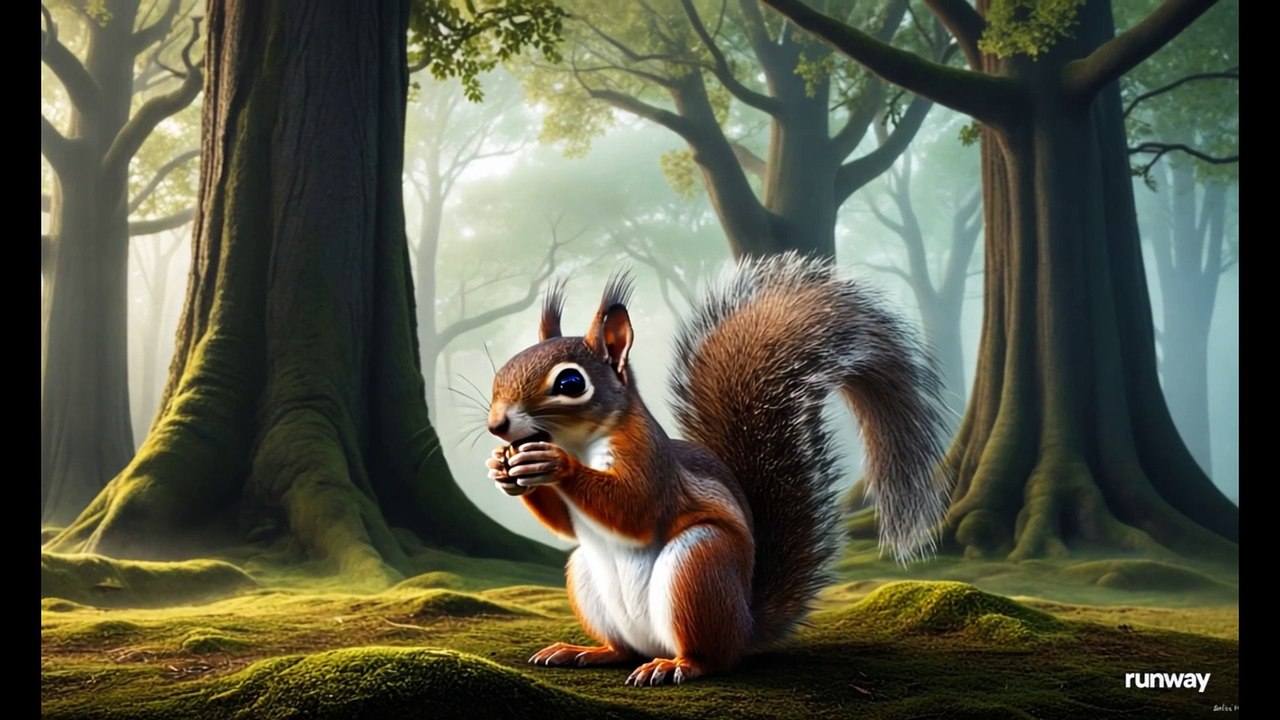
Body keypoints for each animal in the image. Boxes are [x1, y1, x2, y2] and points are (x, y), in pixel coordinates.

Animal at [485, 252, 951, 687]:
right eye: (502, 370)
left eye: (570, 383)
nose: (496, 426)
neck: (579, 442)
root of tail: (745, 627)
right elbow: (565, 524)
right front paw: (502, 468)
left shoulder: (649, 460)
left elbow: (635, 509)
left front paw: (553, 464)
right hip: (587, 576)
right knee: (622, 648)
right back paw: (586, 651)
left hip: (700, 567)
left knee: (710, 657)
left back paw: (676, 665)